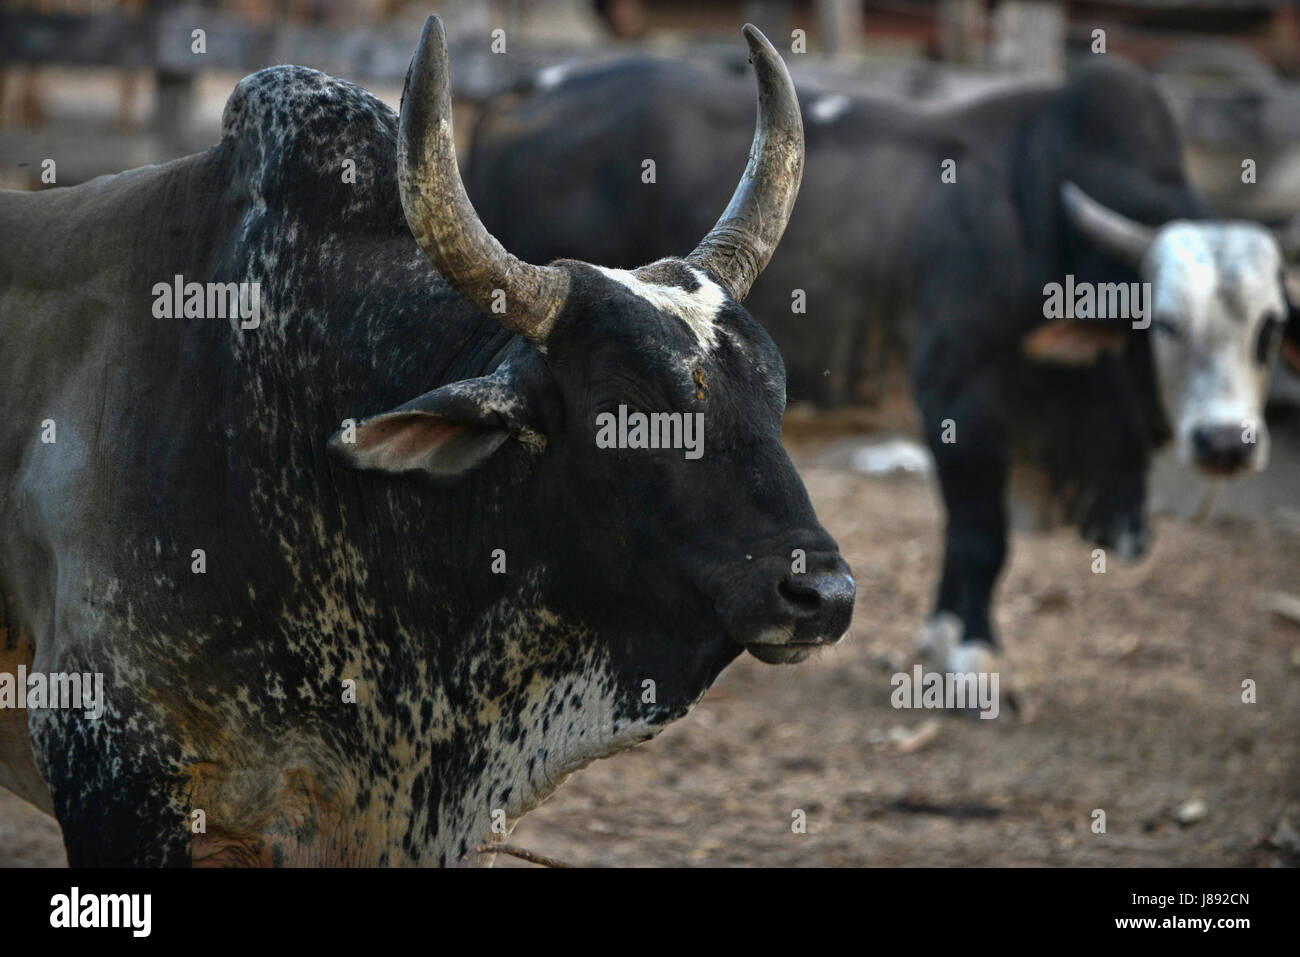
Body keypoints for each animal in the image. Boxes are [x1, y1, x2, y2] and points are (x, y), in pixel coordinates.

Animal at [467, 54, 1300, 697]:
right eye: (1167, 322)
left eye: (1269, 327)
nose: (1226, 442)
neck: (1041, 221)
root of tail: (528, 89)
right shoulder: (959, 396)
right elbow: (980, 534)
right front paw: (971, 658)